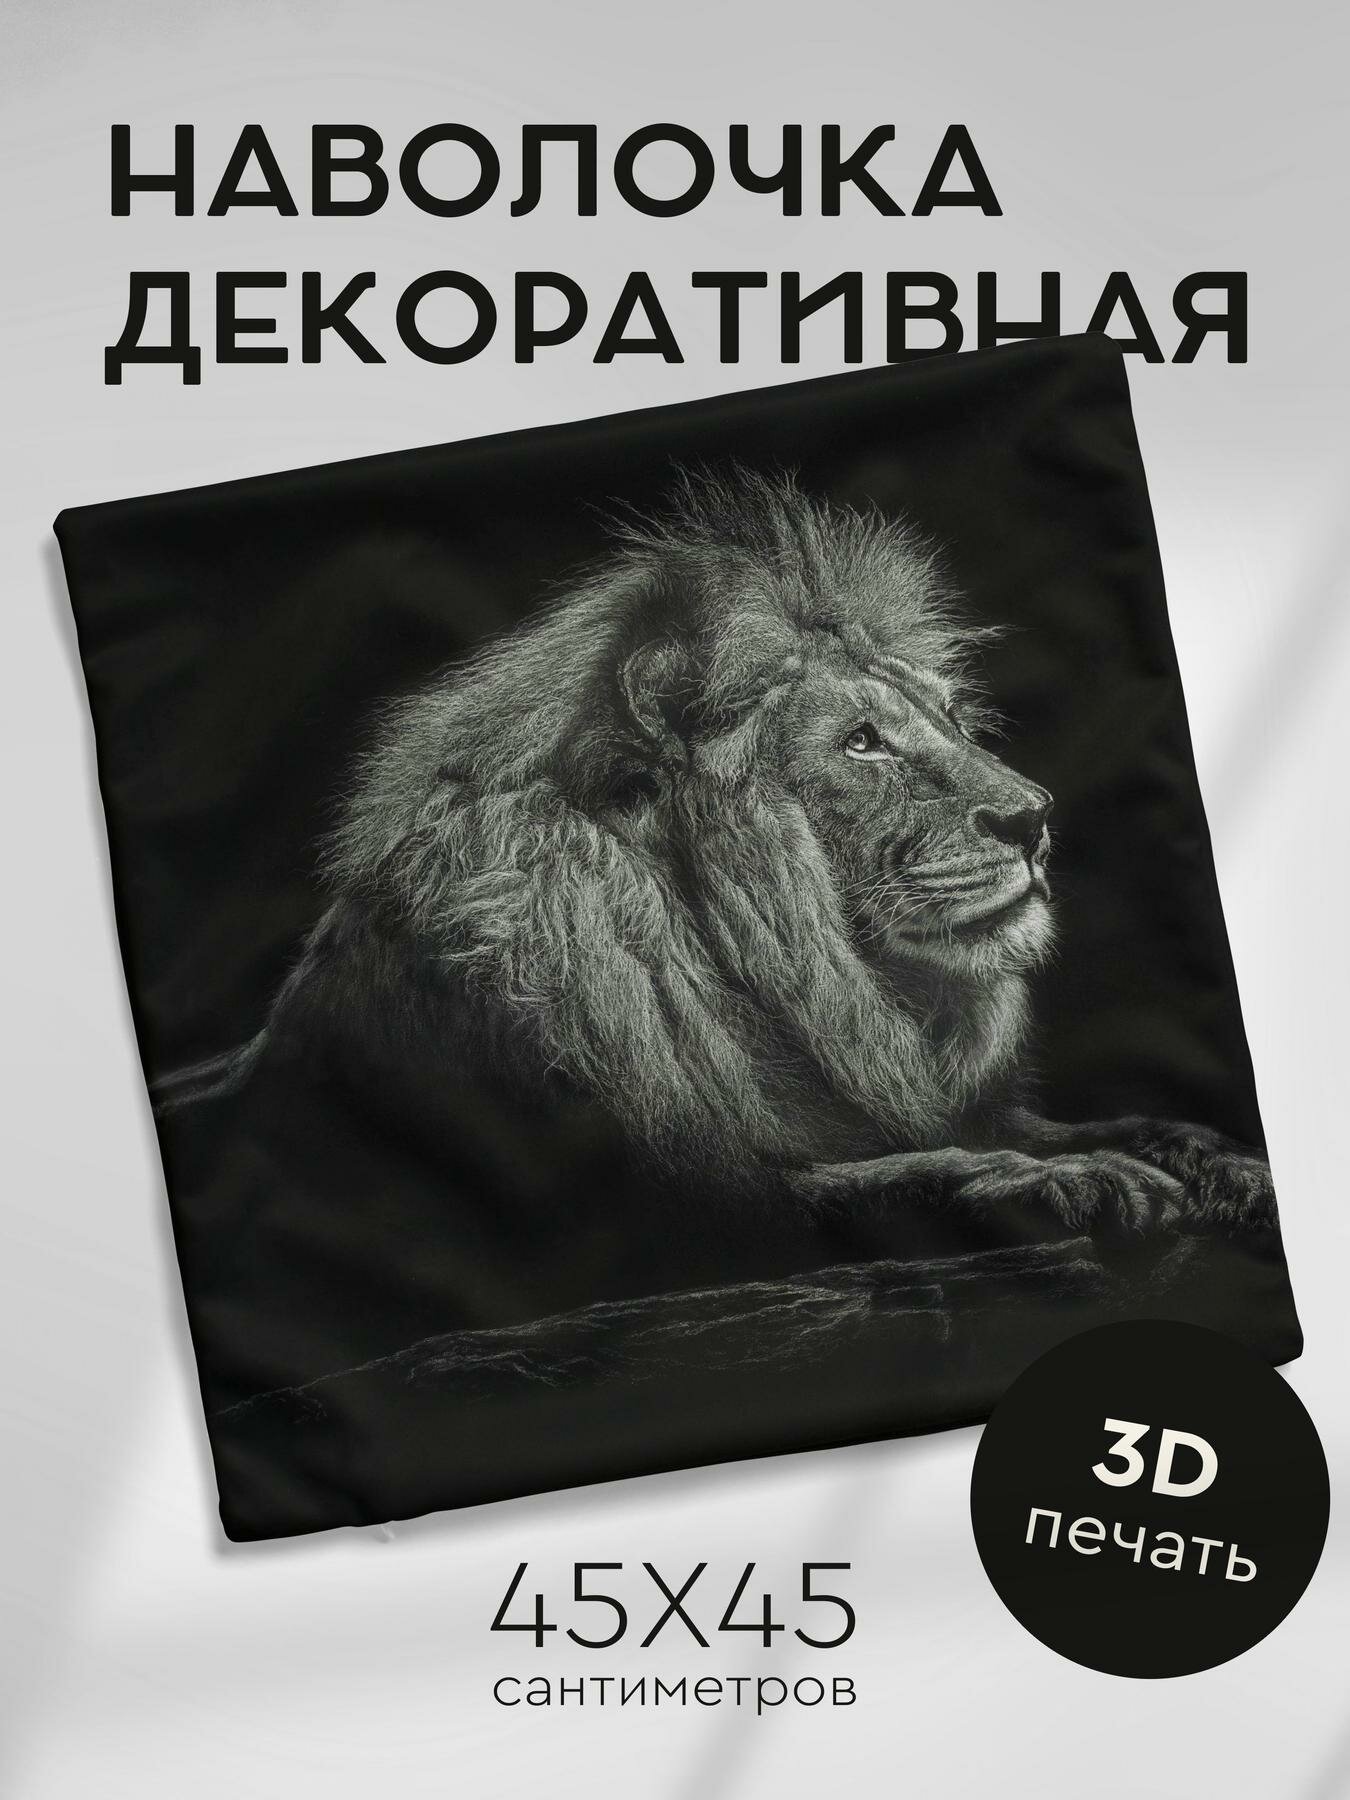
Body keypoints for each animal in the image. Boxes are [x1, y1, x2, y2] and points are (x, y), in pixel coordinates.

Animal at [160, 466, 1273, 1244]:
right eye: (860, 743)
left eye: (950, 720)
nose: (1033, 817)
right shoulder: (675, 1199)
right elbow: (903, 1176)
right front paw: (1068, 1183)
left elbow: (1090, 1126)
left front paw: (1217, 1160)